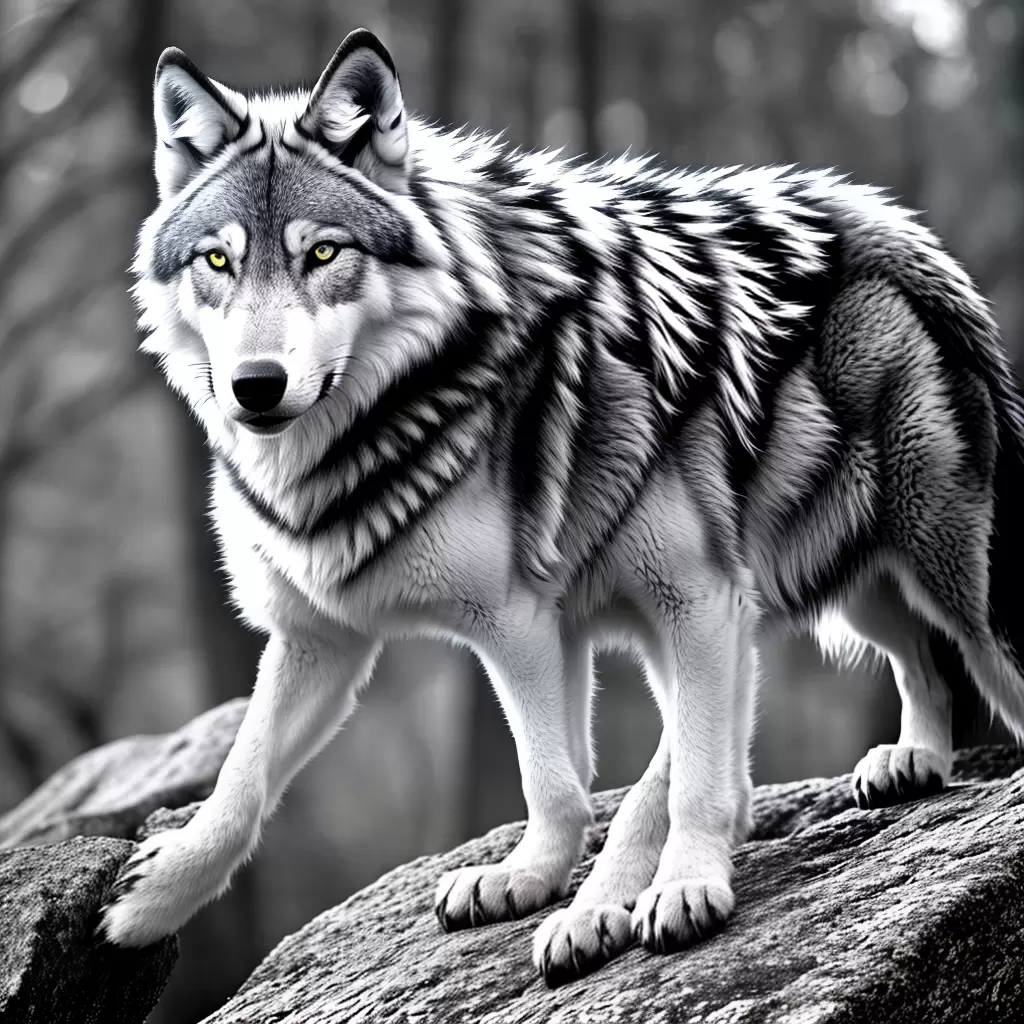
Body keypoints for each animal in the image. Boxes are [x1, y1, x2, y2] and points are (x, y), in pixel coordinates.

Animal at [100, 28, 1024, 984]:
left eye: (323, 254)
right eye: (218, 260)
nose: (255, 386)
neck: (369, 436)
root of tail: (884, 217)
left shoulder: (586, 613)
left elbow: (587, 781)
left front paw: (645, 887)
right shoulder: (326, 637)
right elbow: (241, 780)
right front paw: (150, 902)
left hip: (930, 589)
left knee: (928, 674)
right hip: (823, 589)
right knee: (915, 663)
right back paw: (910, 760)